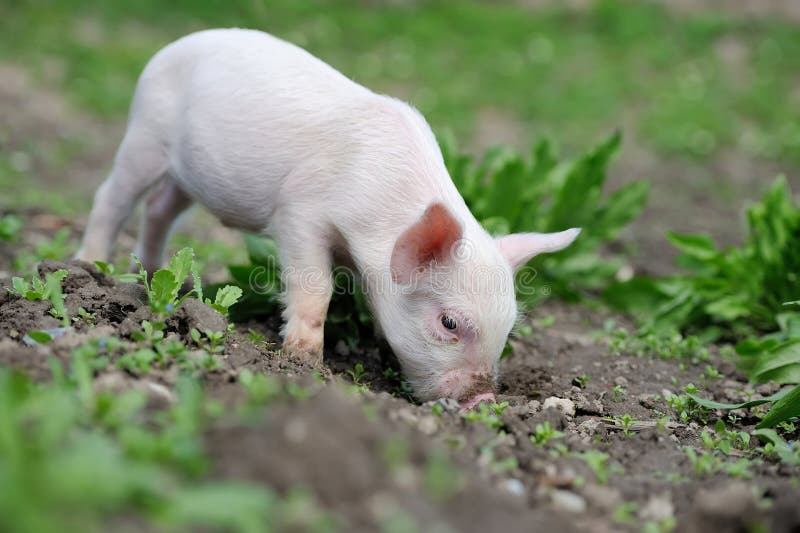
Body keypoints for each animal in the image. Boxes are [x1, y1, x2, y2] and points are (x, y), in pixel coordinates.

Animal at [75, 29, 580, 409]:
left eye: (509, 326)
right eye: (449, 324)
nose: (485, 399)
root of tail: (175, 45)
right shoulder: (300, 213)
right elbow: (316, 287)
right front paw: (304, 362)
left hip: (187, 178)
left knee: (159, 208)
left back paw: (153, 273)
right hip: (145, 134)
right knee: (111, 196)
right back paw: (91, 266)